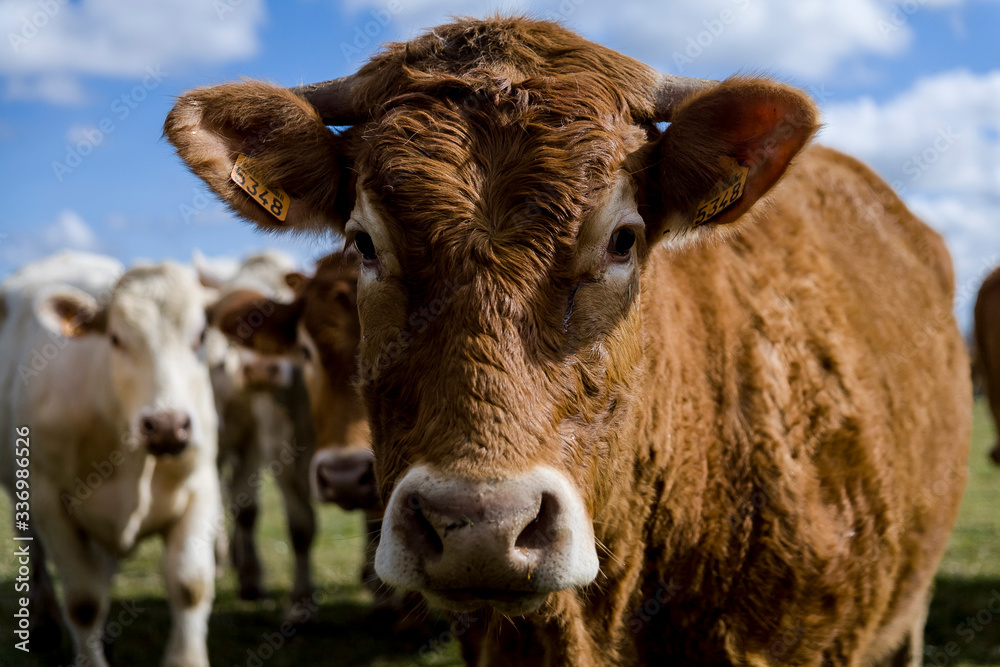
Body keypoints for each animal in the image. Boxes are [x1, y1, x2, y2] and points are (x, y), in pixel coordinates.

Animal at [0, 251, 219, 667]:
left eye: (200, 336)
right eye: (116, 338)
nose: (167, 426)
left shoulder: (200, 486)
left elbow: (190, 585)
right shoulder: (48, 499)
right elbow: (84, 601)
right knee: (34, 551)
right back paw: (42, 621)